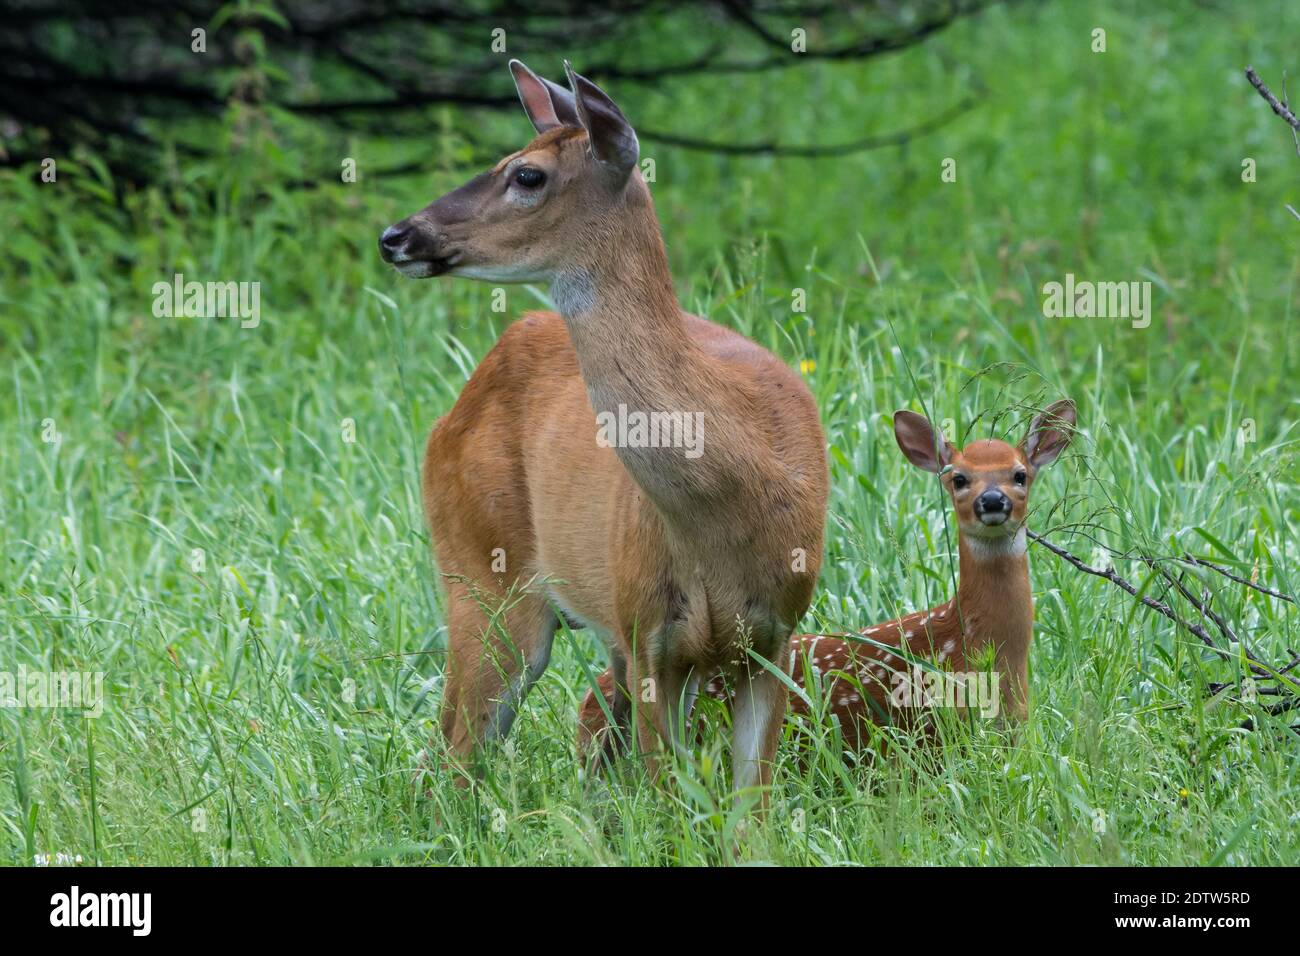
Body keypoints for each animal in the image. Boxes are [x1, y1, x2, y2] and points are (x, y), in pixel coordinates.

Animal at [378, 60, 828, 805]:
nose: (396, 235)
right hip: (481, 577)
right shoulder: (648, 634)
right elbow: (671, 802)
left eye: (526, 174)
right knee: (450, 757)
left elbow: (748, 810)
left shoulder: (773, 636)